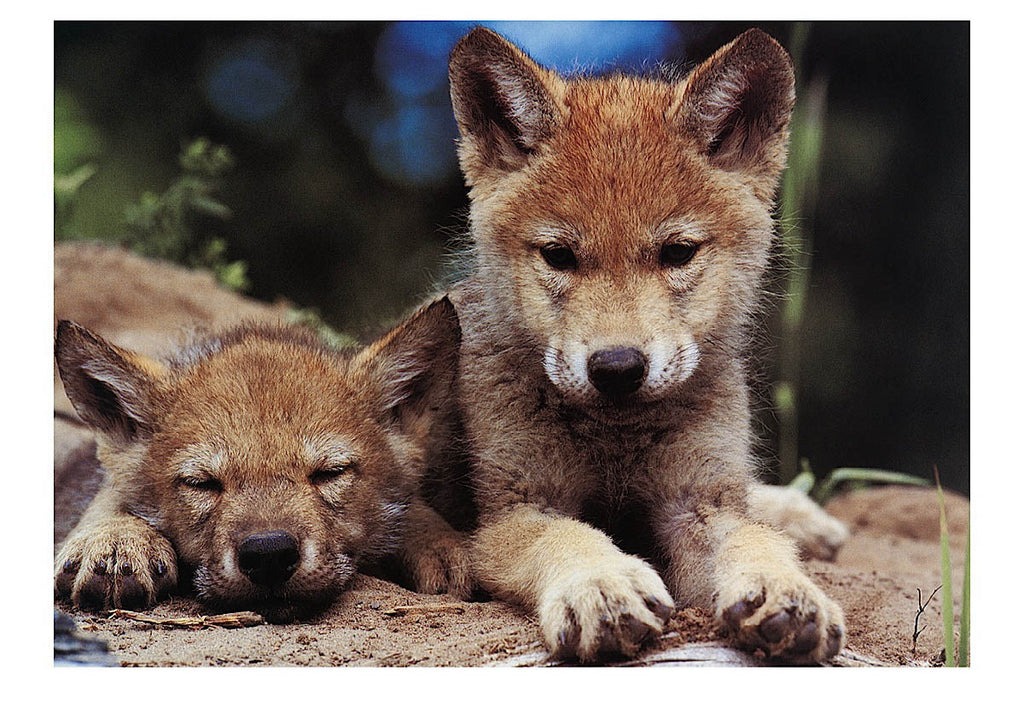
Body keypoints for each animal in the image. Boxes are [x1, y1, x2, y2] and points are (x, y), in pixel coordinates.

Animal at [445, 26, 846, 663]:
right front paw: (602, 588)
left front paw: (788, 592)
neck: (617, 438)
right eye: (559, 256)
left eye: (677, 252)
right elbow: (570, 537)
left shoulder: (697, 502)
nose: (616, 368)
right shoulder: (516, 509)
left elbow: (754, 540)